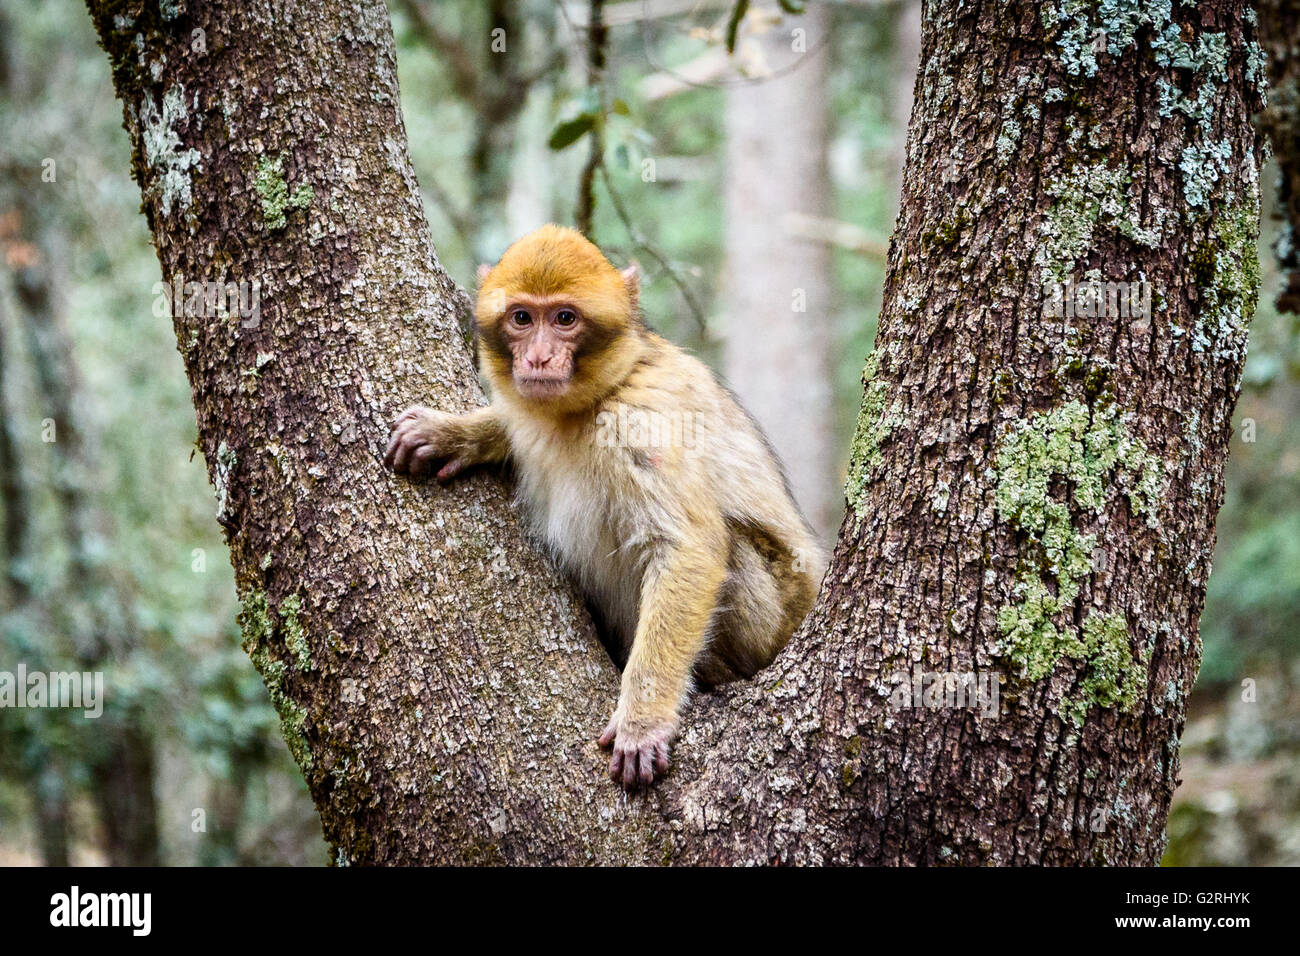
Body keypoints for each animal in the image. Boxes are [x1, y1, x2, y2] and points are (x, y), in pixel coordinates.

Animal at [384, 224, 827, 788]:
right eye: (522, 318)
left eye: (564, 319)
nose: (539, 358)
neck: (595, 398)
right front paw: (456, 433)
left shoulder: (639, 423)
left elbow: (688, 549)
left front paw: (644, 720)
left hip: (773, 614)